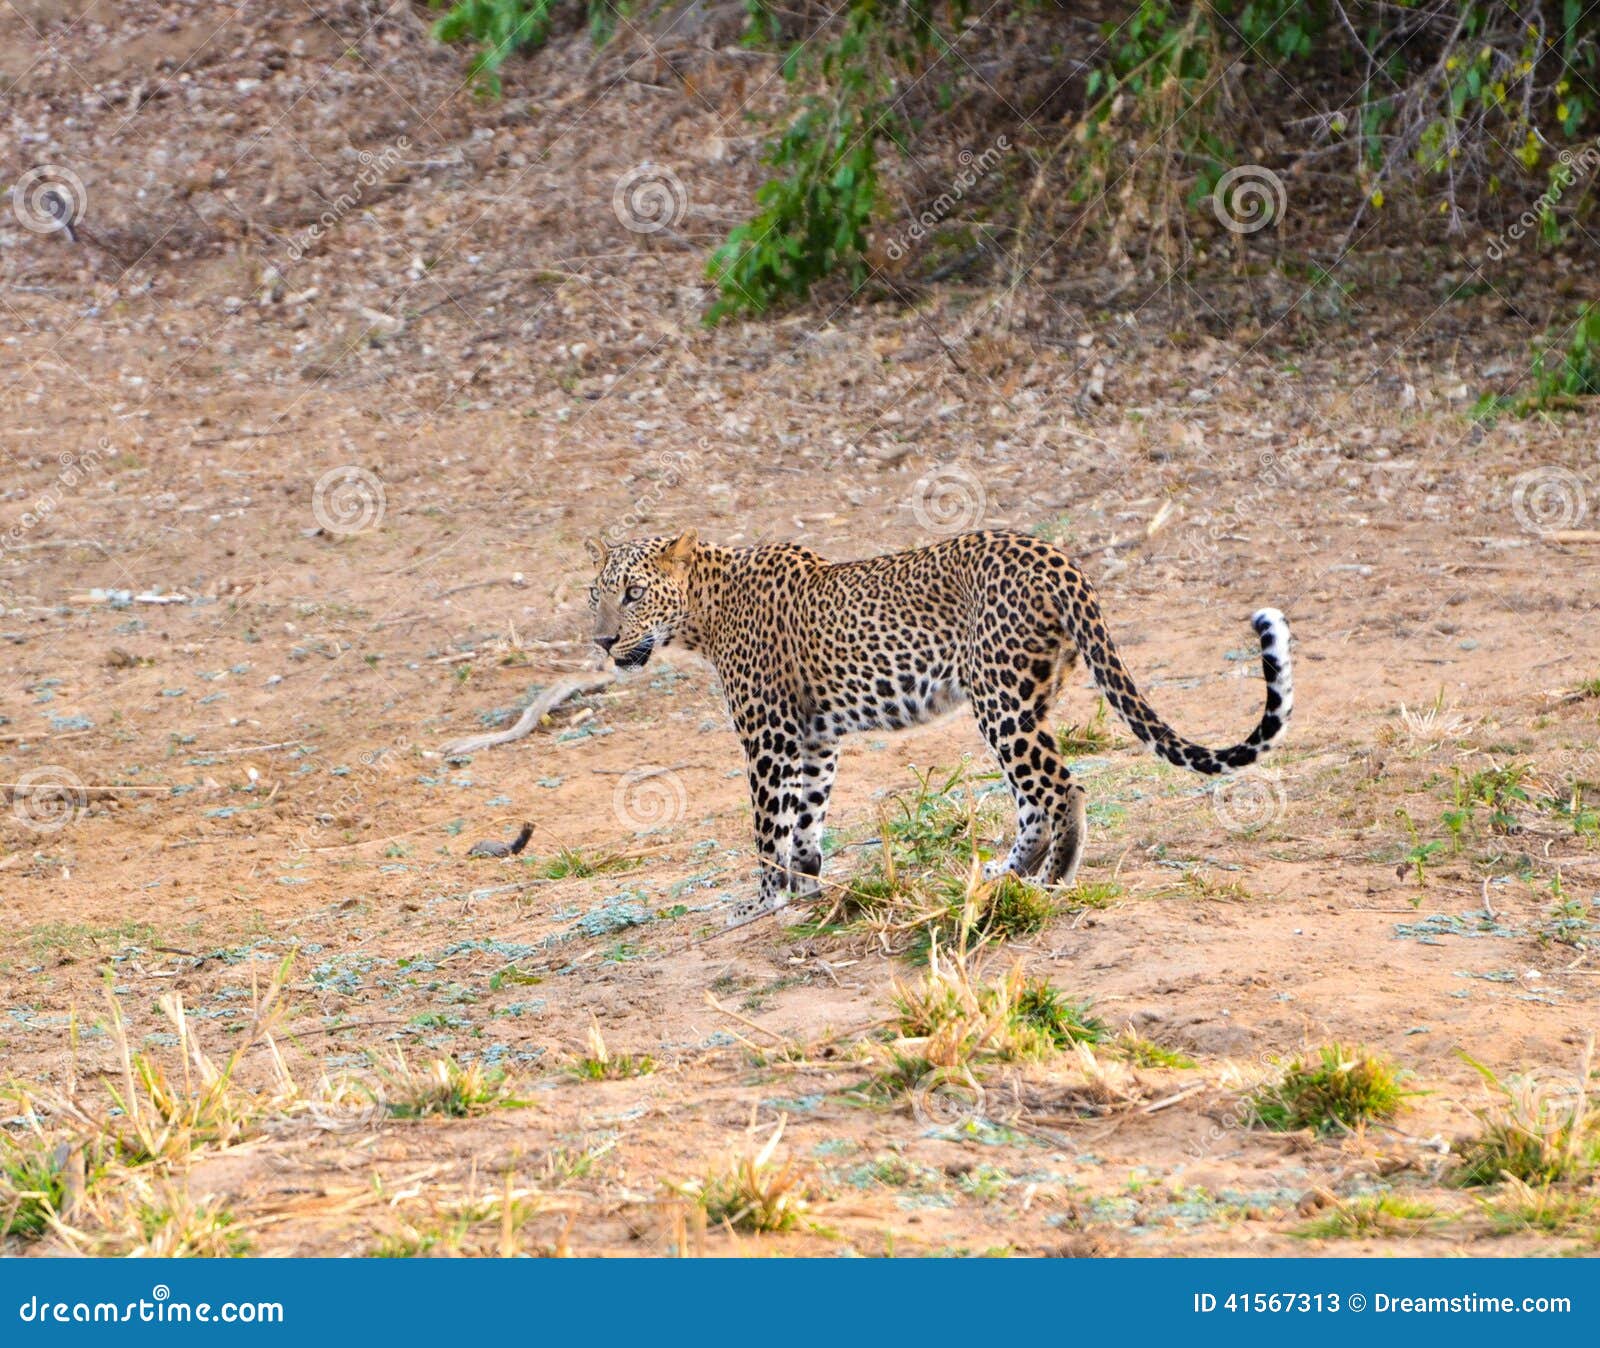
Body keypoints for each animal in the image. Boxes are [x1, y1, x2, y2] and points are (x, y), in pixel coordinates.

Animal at [586, 529, 1293, 925]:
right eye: (597, 594)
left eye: (633, 593)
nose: (601, 641)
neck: (703, 613)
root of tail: (1060, 559)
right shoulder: (813, 738)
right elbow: (807, 815)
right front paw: (806, 884)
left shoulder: (769, 736)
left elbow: (767, 825)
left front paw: (761, 901)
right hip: (1027, 698)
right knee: (1042, 794)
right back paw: (1018, 875)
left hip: (998, 699)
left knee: (1057, 787)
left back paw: (1041, 879)